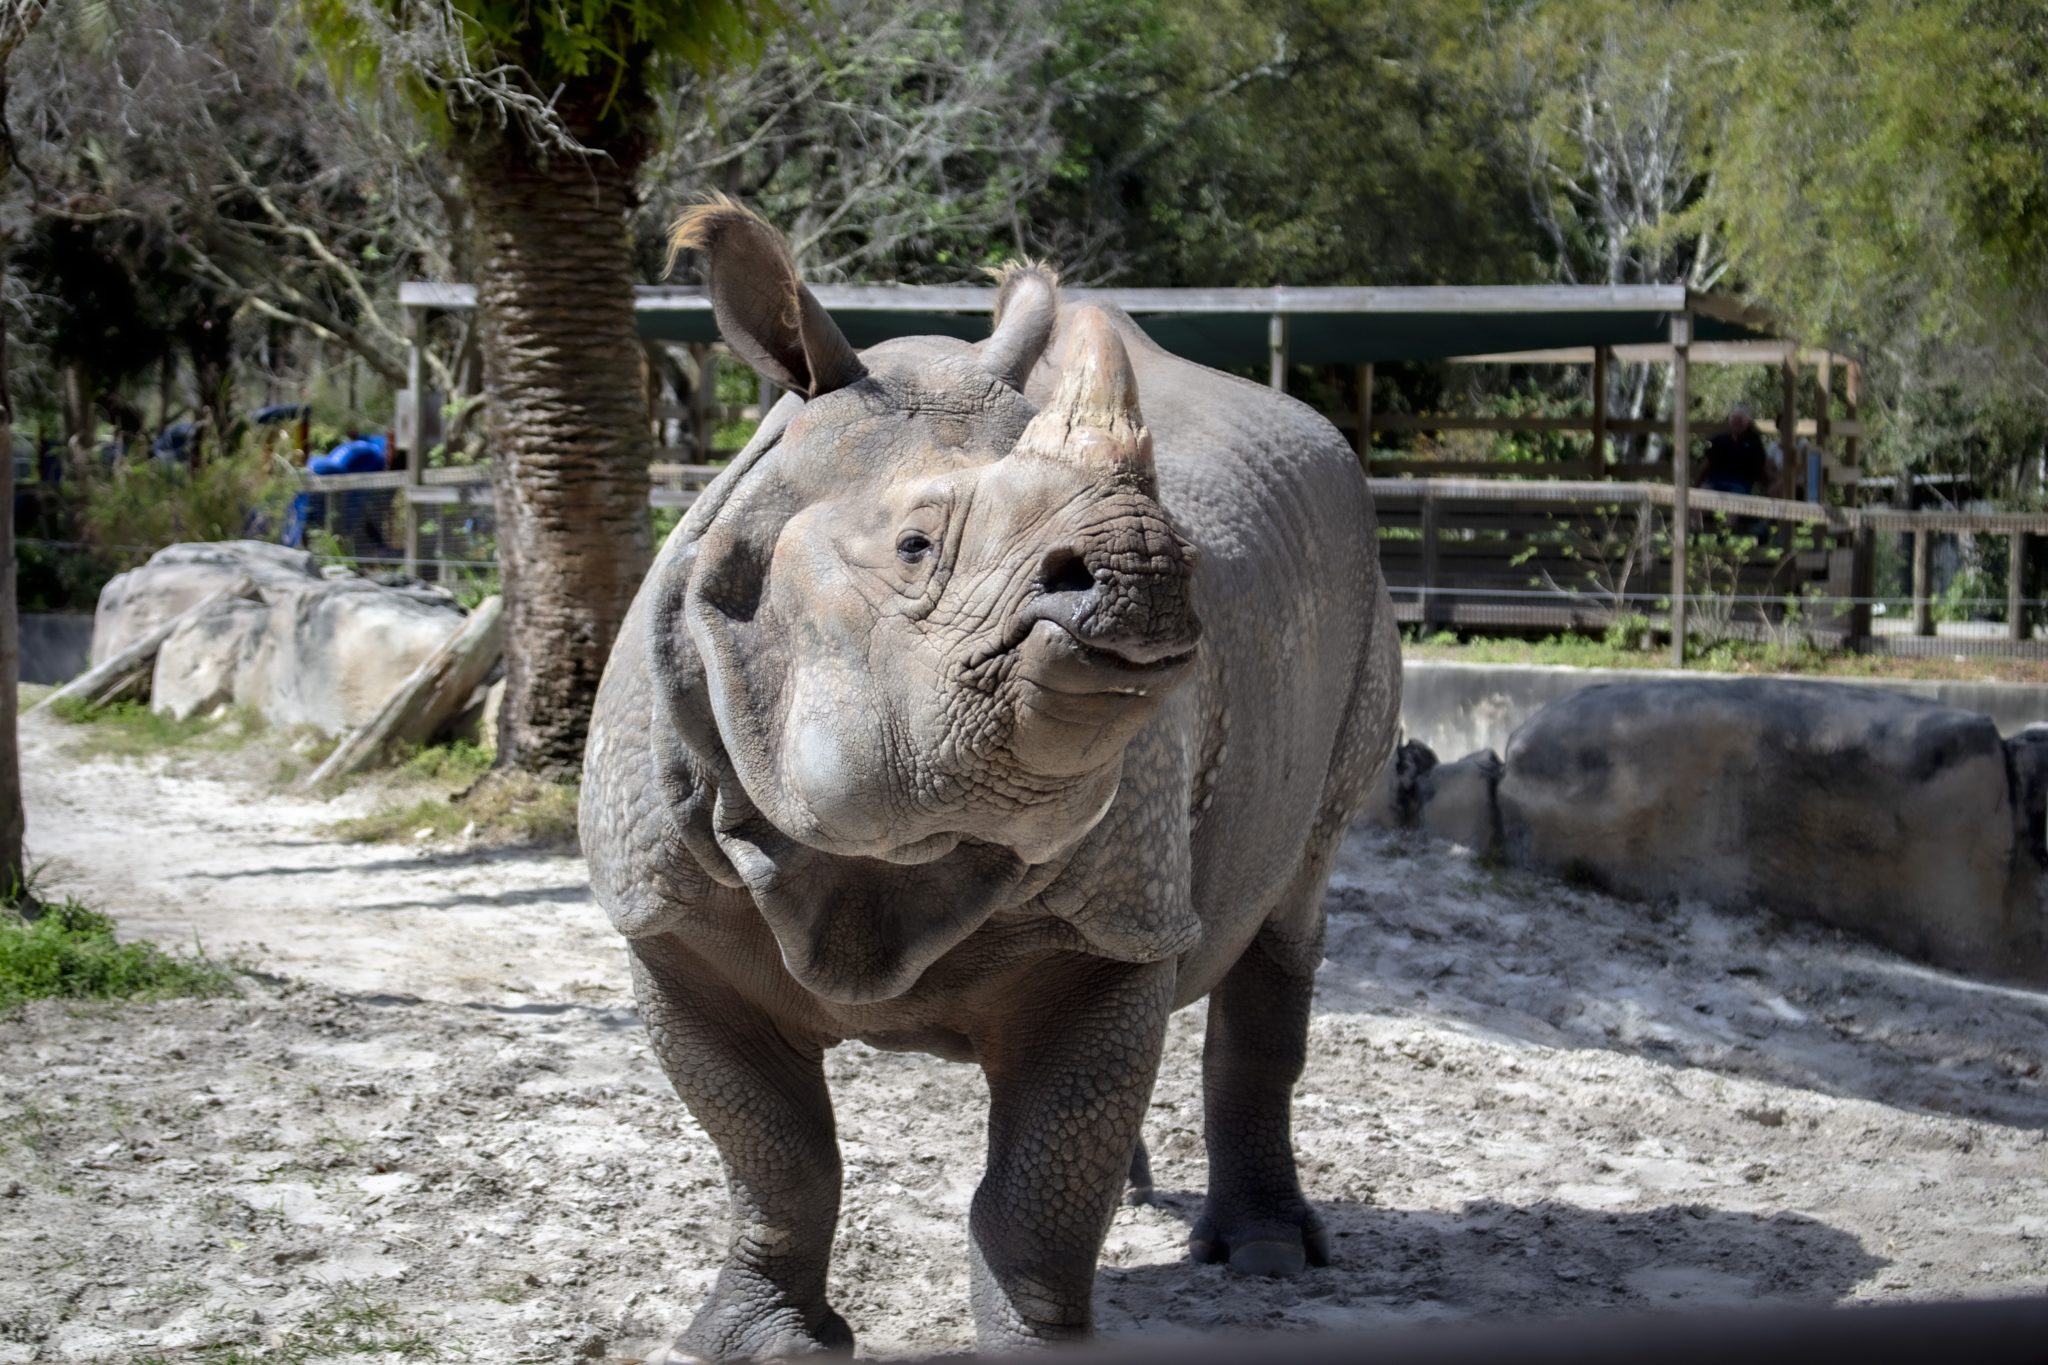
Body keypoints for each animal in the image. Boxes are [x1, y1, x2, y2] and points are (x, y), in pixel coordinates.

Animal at [581, 203, 1401, 1358]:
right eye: (915, 547)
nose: (1147, 572)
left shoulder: (1110, 921)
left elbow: (1035, 1189)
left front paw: (1034, 1341)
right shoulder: (665, 913)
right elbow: (776, 1154)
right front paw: (760, 1342)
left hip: (1363, 607)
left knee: (1291, 900)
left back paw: (1268, 1258)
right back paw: (1150, 1194)